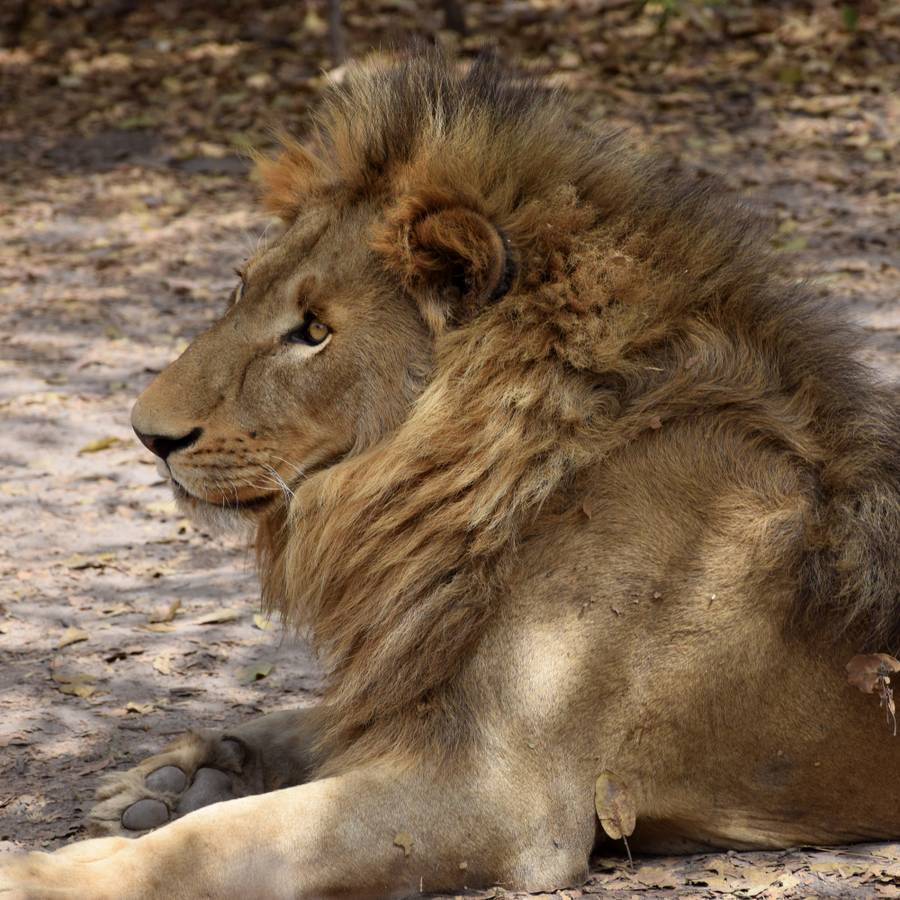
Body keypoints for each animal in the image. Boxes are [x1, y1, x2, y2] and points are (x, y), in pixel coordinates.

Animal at [3, 50, 899, 899]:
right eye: (240, 289)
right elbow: (304, 724)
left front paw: (47, 870)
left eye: (314, 331)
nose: (146, 434)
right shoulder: (420, 692)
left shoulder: (503, 799)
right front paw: (176, 778)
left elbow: (227, 840)